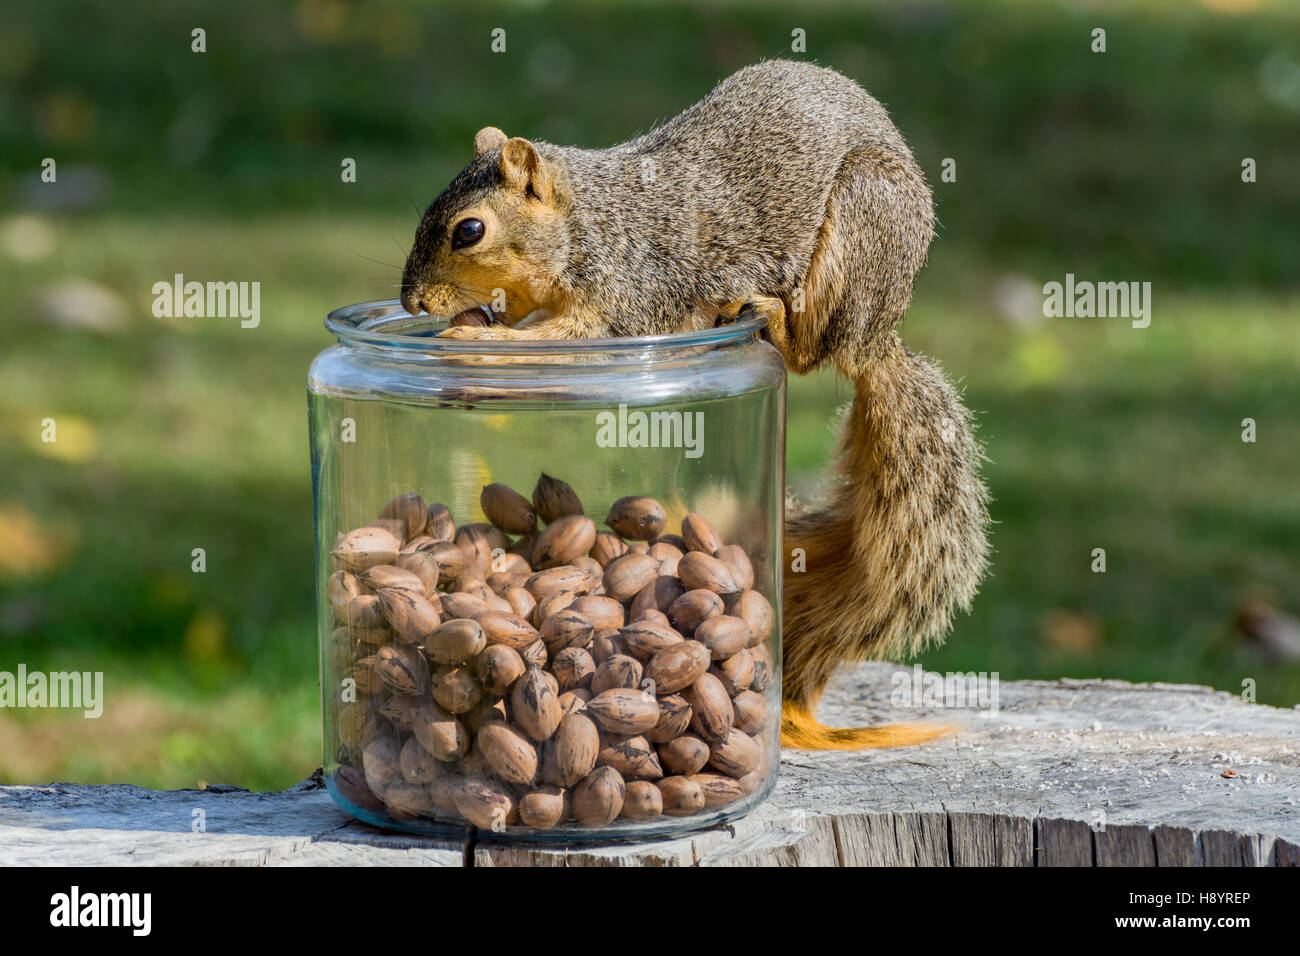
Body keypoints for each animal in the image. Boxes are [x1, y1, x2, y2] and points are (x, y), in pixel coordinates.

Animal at [401, 59, 990, 750]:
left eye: (470, 230)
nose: (411, 302)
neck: (586, 222)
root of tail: (879, 337)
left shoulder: (629, 293)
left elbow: (572, 340)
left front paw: (477, 343)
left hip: (861, 223)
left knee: (814, 349)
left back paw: (770, 315)